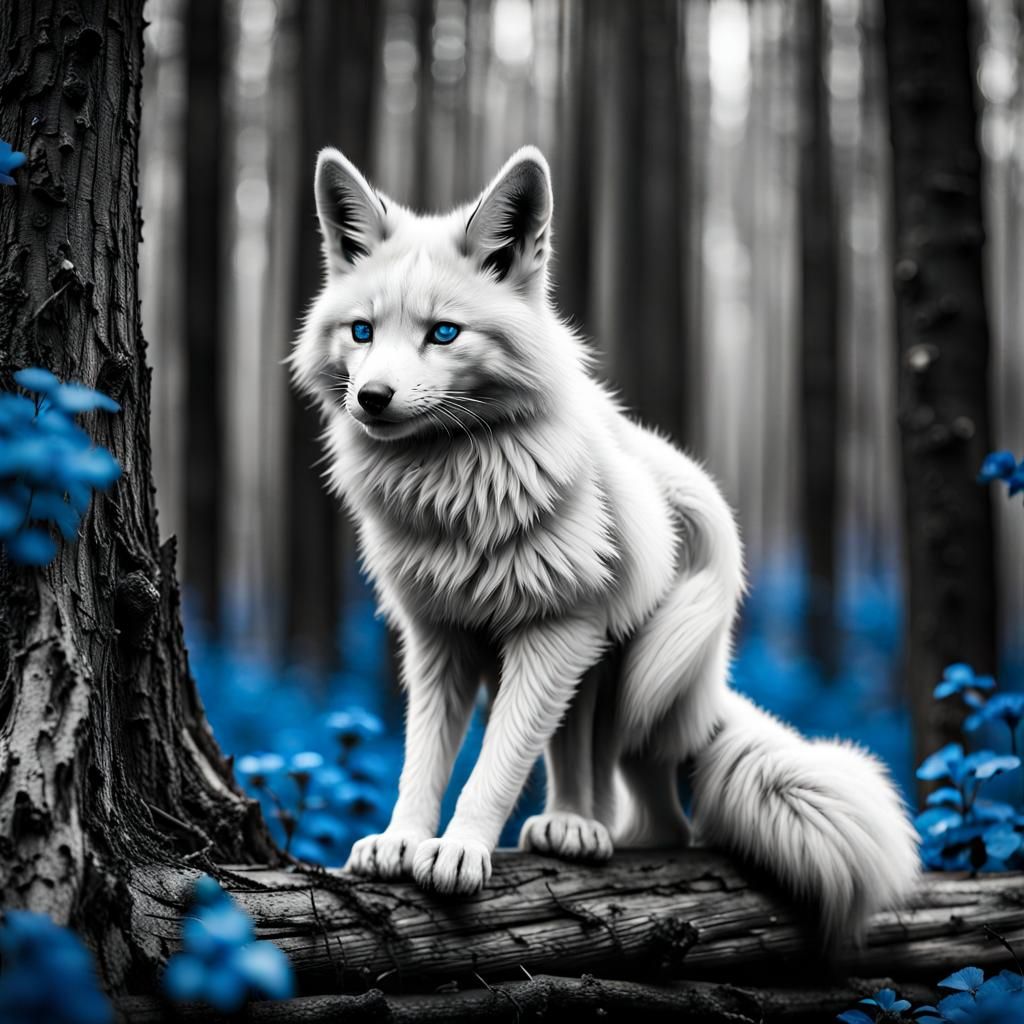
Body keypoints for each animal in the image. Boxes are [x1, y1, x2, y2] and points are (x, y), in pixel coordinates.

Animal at [289, 144, 919, 944]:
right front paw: (402, 840)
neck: (456, 491)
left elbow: (496, 765)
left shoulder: (555, 629)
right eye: (362, 332)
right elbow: (422, 758)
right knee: (588, 762)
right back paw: (570, 825)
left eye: (444, 333)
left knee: (656, 811)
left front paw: (459, 850)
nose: (372, 398)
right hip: (582, 666)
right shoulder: (440, 638)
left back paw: (586, 832)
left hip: (638, 666)